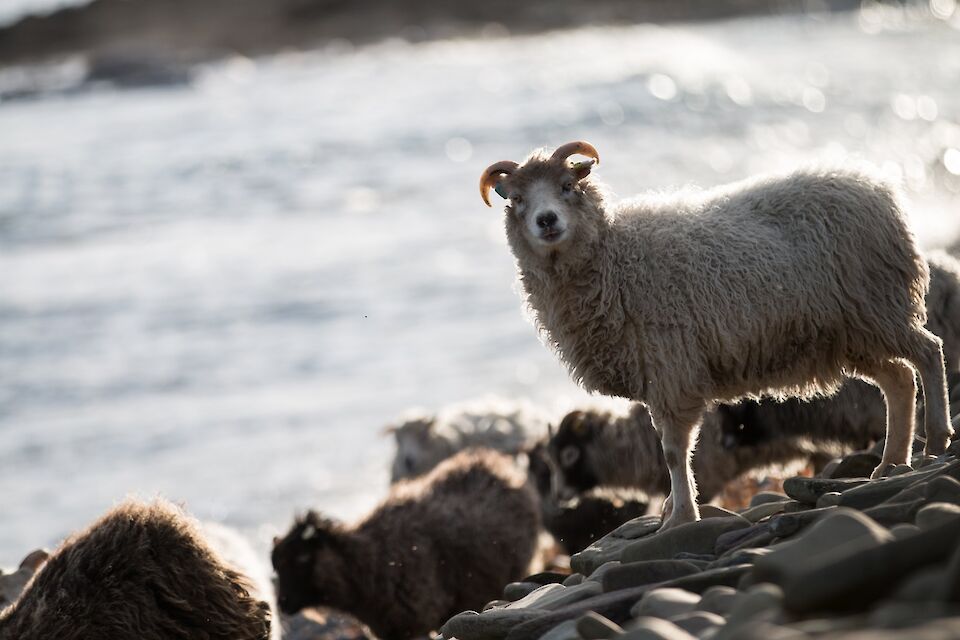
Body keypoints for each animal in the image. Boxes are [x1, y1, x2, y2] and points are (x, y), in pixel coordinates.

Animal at [480, 141, 952, 528]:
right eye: (517, 199)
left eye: (567, 186)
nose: (546, 220)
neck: (614, 257)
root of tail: (872, 183)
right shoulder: (656, 373)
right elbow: (670, 452)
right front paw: (673, 511)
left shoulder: (672, 370)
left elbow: (673, 451)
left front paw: (681, 517)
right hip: (853, 331)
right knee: (898, 380)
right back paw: (891, 463)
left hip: (877, 305)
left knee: (929, 353)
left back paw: (936, 439)